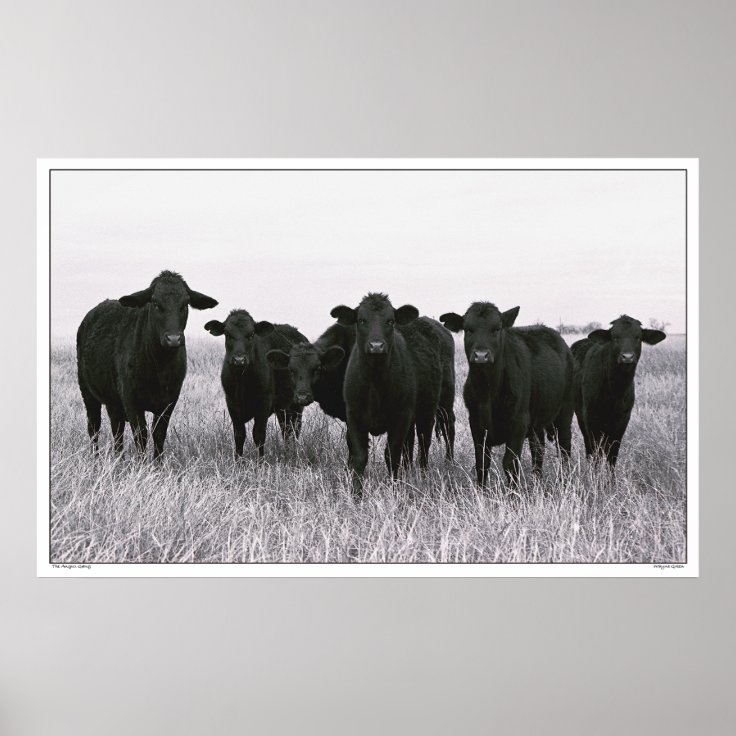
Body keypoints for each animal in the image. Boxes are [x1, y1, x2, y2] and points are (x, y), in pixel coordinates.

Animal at [76, 270, 218, 459]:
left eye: (185, 304)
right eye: (156, 303)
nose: (173, 339)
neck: (160, 368)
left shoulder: (170, 400)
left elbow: (158, 433)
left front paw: (158, 463)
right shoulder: (130, 398)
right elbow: (141, 434)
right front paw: (142, 463)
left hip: (113, 401)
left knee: (117, 430)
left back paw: (119, 459)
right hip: (87, 391)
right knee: (94, 427)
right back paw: (96, 459)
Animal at [204, 310, 307, 458]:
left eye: (251, 334)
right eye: (227, 334)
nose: (239, 359)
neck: (242, 382)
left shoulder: (264, 403)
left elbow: (259, 435)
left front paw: (261, 461)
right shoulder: (232, 403)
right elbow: (239, 435)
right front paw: (238, 460)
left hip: (297, 404)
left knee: (295, 429)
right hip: (283, 407)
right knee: (286, 429)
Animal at [330, 293, 443, 495]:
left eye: (390, 321)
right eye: (361, 320)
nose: (376, 346)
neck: (375, 383)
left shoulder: (401, 416)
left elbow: (392, 455)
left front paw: (394, 490)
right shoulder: (353, 416)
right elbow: (359, 456)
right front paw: (356, 494)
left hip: (426, 412)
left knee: (423, 446)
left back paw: (422, 478)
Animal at [440, 303, 573, 487]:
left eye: (496, 328)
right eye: (468, 329)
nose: (481, 356)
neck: (488, 392)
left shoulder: (519, 422)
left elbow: (510, 463)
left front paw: (513, 492)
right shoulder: (475, 422)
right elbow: (481, 462)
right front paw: (482, 490)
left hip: (564, 413)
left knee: (564, 449)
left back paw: (564, 481)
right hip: (537, 421)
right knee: (538, 449)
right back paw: (537, 480)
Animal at [571, 315, 666, 468]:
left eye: (638, 337)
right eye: (615, 337)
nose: (627, 357)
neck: (614, 391)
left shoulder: (622, 420)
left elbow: (612, 455)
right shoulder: (590, 417)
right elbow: (596, 452)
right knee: (590, 446)